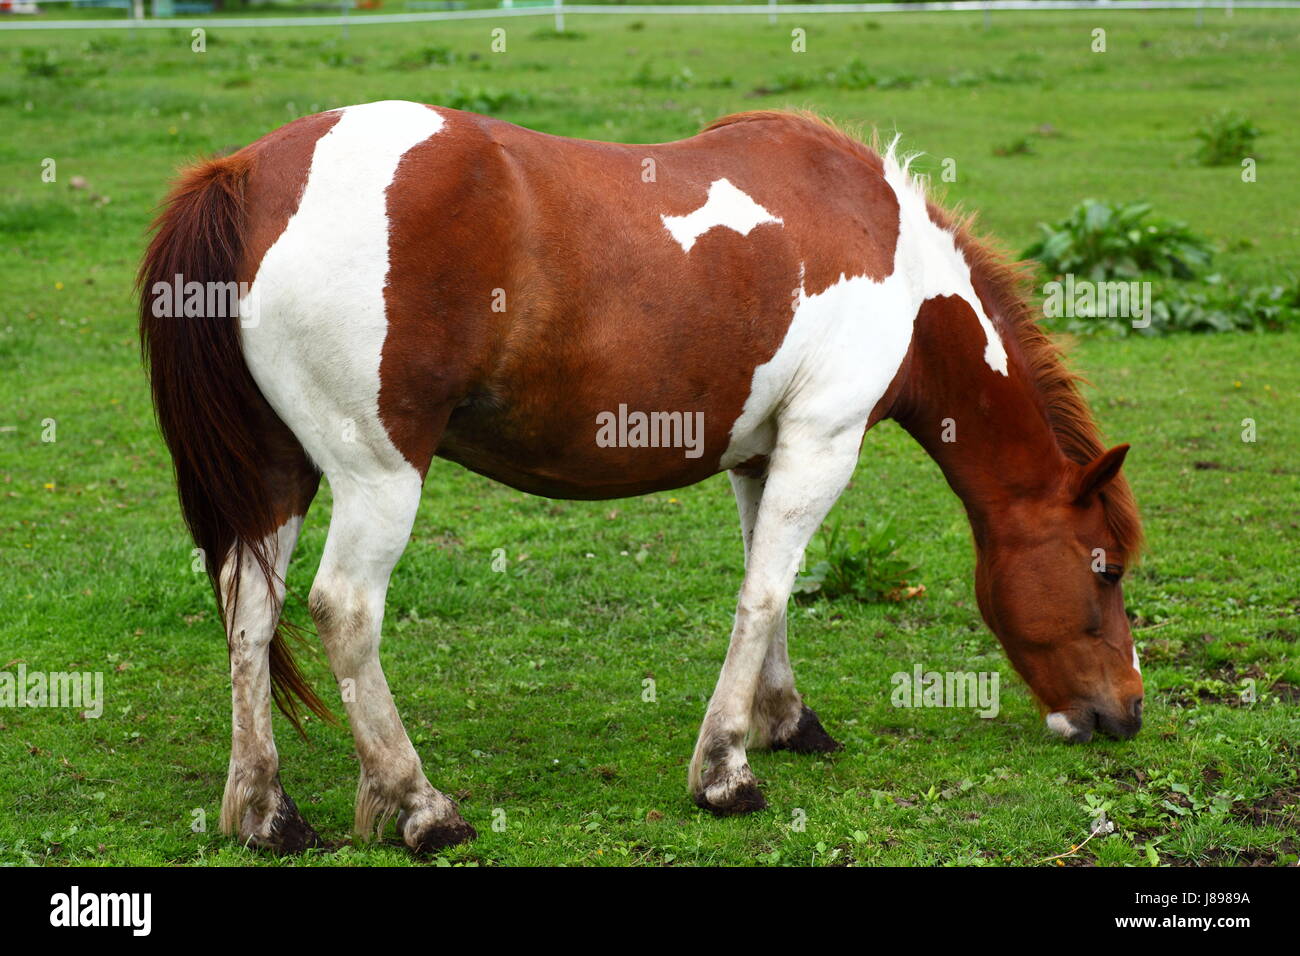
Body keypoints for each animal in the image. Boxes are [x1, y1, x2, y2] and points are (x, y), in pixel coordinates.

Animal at [140, 102, 1144, 854]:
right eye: (1105, 568)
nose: (1126, 714)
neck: (886, 252)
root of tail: (248, 175)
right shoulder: (822, 442)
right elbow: (765, 593)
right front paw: (726, 772)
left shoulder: (763, 455)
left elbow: (772, 591)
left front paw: (786, 720)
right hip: (378, 477)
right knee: (344, 610)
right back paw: (421, 806)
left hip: (278, 479)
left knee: (248, 610)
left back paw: (265, 813)